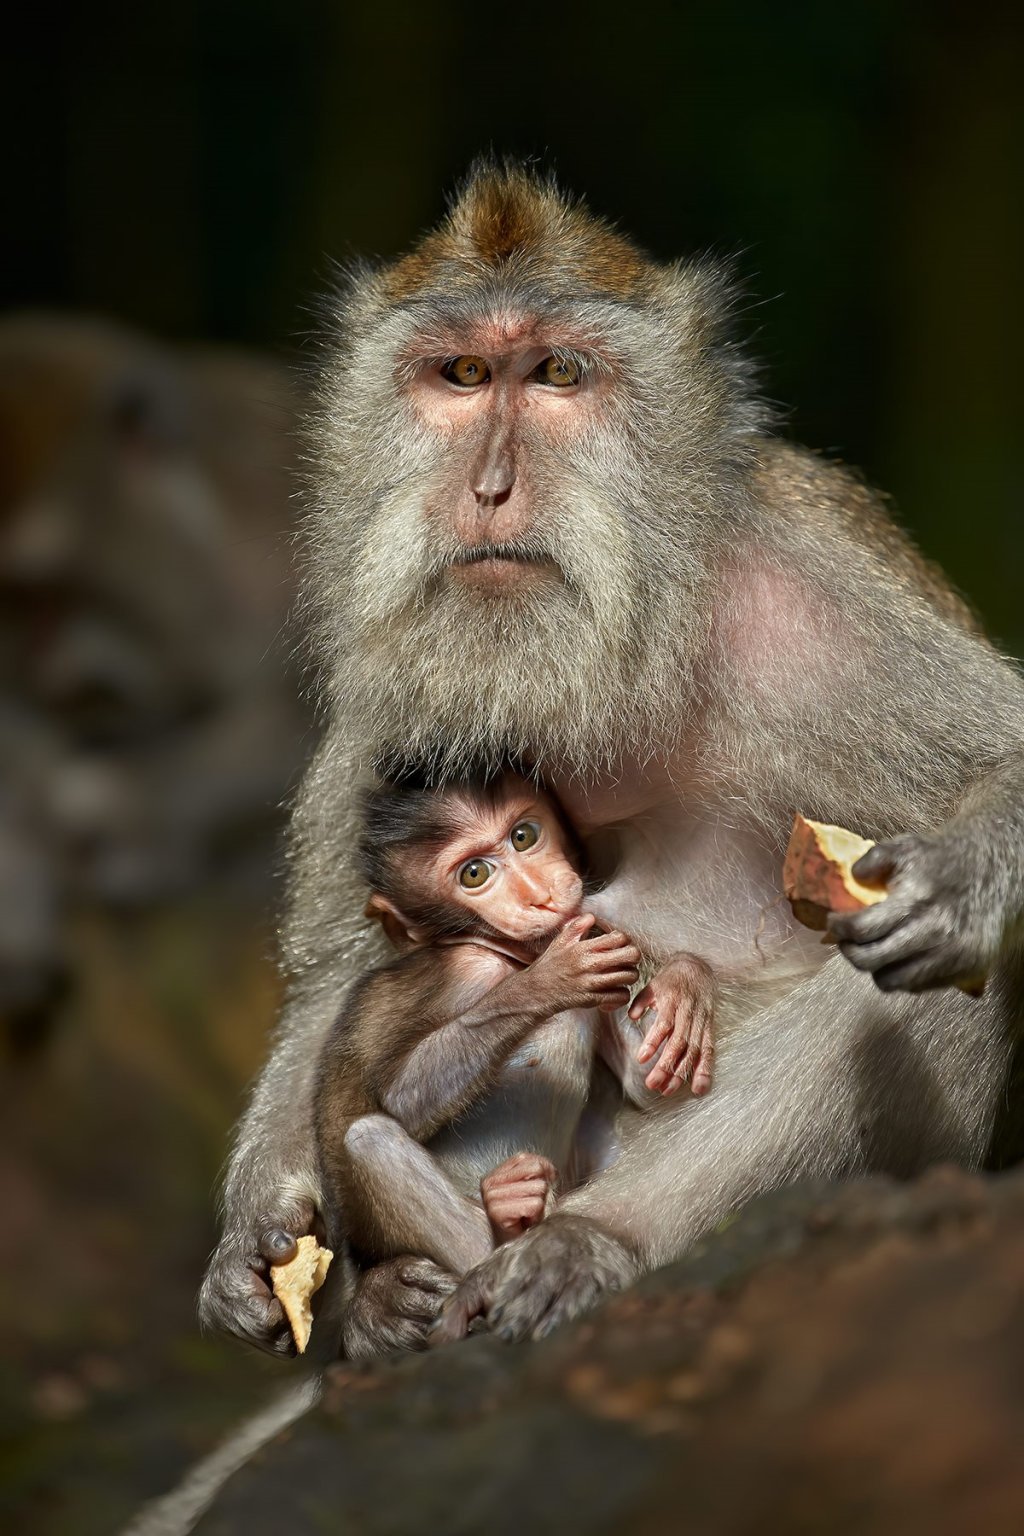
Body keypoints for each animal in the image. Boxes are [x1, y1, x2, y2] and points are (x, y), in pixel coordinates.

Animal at [197, 161, 1024, 1367]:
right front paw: (261, 1242)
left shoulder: (796, 608)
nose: (490, 488)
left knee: (945, 984)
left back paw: (589, 1244)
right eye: (460, 374)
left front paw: (957, 883)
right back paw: (390, 1300)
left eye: (557, 373)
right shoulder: (398, 670)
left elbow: (997, 767)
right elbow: (345, 978)